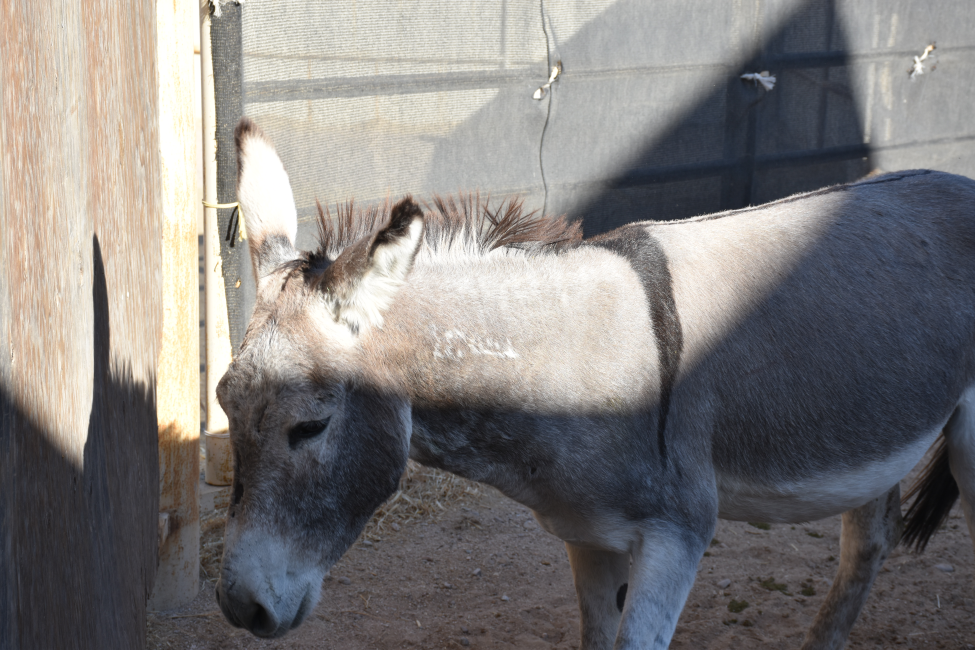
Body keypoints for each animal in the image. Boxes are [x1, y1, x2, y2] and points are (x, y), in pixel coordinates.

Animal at [214, 117, 975, 649]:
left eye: (310, 425)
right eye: (223, 405)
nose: (238, 607)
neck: (571, 363)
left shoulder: (677, 535)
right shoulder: (589, 539)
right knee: (866, 548)